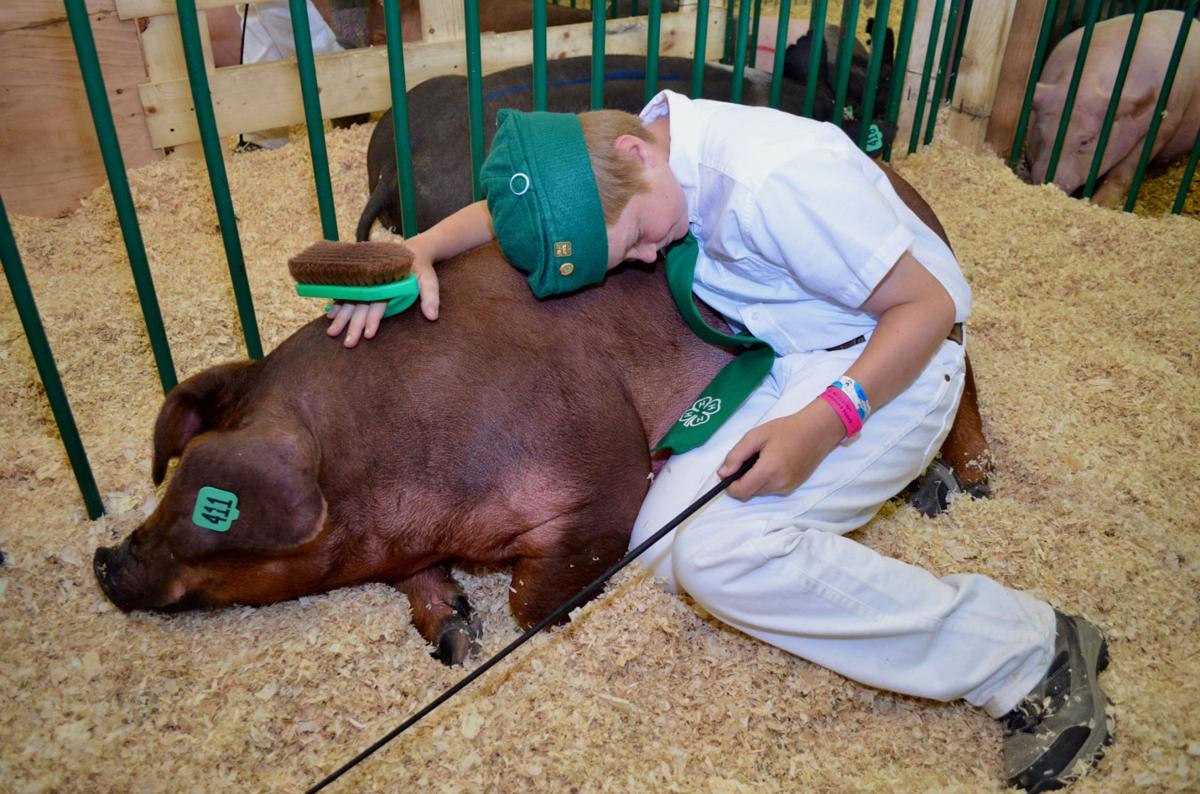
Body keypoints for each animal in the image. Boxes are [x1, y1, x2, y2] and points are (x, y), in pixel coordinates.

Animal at [94, 164, 991, 664]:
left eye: (203, 501)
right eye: (172, 477)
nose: (106, 558)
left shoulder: (603, 470)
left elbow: (539, 595)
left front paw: (541, 617)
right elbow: (417, 583)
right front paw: (456, 639)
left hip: (936, 330)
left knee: (967, 378)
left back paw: (968, 487)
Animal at [1026, 10, 1200, 207]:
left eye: (1086, 141)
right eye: (1041, 132)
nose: (1046, 181)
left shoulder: (1167, 122)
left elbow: (1124, 170)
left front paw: (1100, 203)